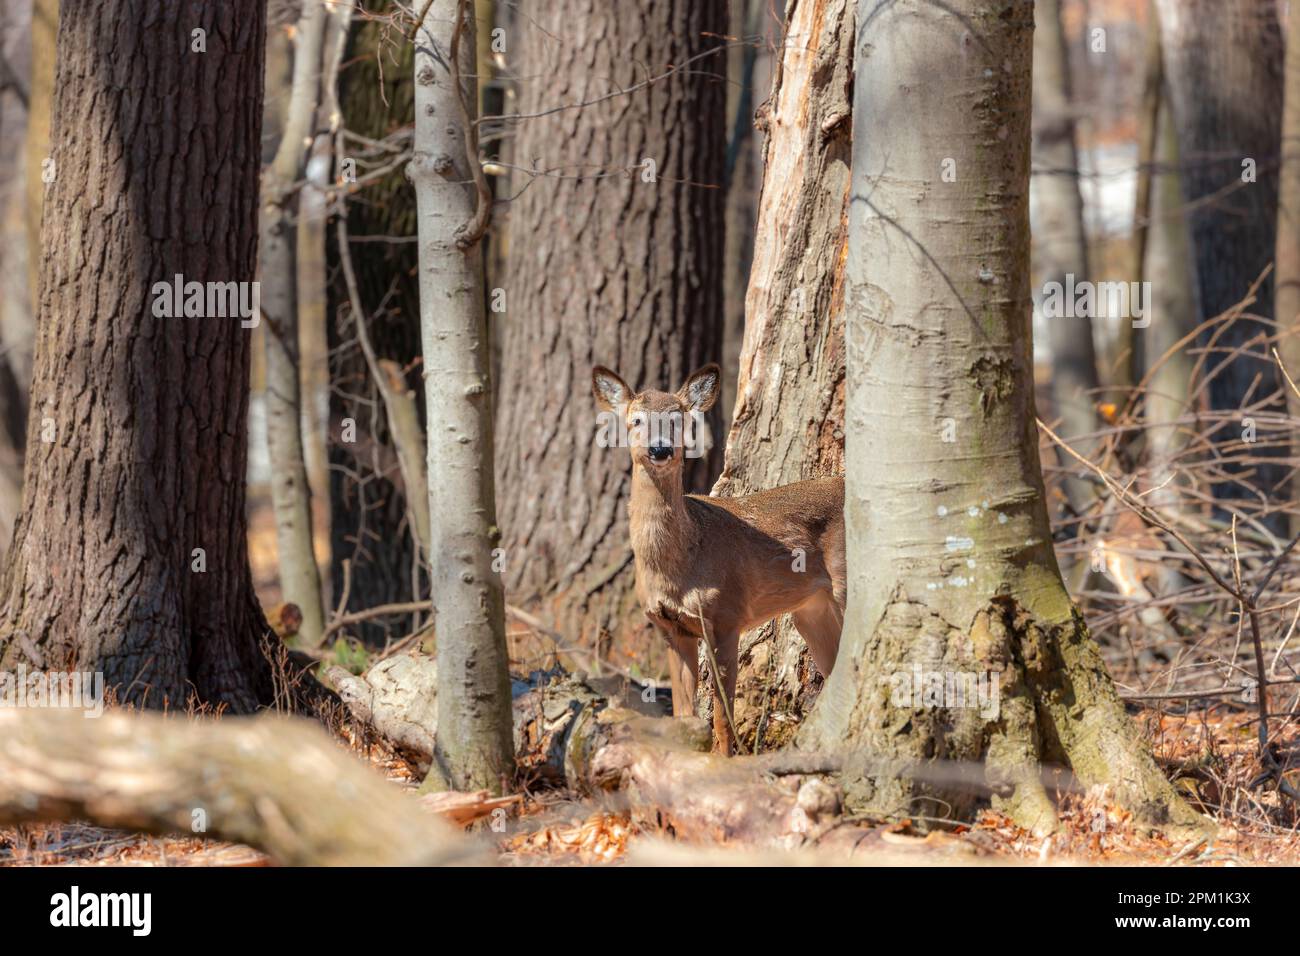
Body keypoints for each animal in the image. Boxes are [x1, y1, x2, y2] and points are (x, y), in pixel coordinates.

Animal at [592, 363, 846, 755]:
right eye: (636, 420)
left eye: (677, 419)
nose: (660, 448)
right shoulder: (671, 628)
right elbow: (683, 713)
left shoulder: (727, 616)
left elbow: (723, 716)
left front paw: (723, 759)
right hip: (811, 610)